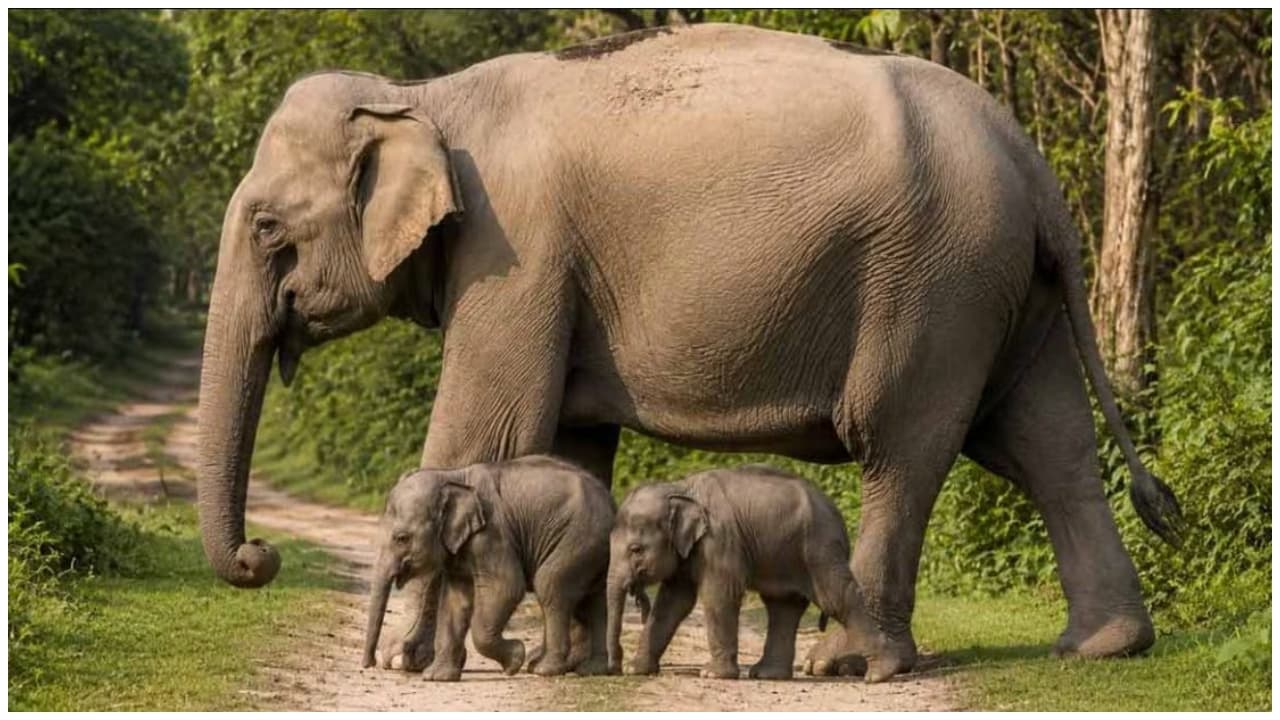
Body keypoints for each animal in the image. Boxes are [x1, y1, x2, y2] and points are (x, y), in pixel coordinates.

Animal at [362, 456, 615, 679]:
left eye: (401, 538)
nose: (369, 664)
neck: (452, 476)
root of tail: (611, 505)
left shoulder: (491, 534)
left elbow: (507, 587)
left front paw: (515, 659)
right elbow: (455, 600)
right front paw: (437, 677)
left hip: (579, 538)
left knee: (551, 586)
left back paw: (543, 670)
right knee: (595, 601)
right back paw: (592, 669)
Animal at [606, 465, 894, 681]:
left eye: (635, 549)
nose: (615, 668)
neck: (681, 488)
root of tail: (839, 517)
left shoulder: (720, 541)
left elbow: (719, 595)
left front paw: (712, 675)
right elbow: (672, 602)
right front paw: (636, 670)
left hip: (819, 549)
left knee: (836, 598)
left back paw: (879, 674)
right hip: (788, 555)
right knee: (783, 607)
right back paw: (767, 675)